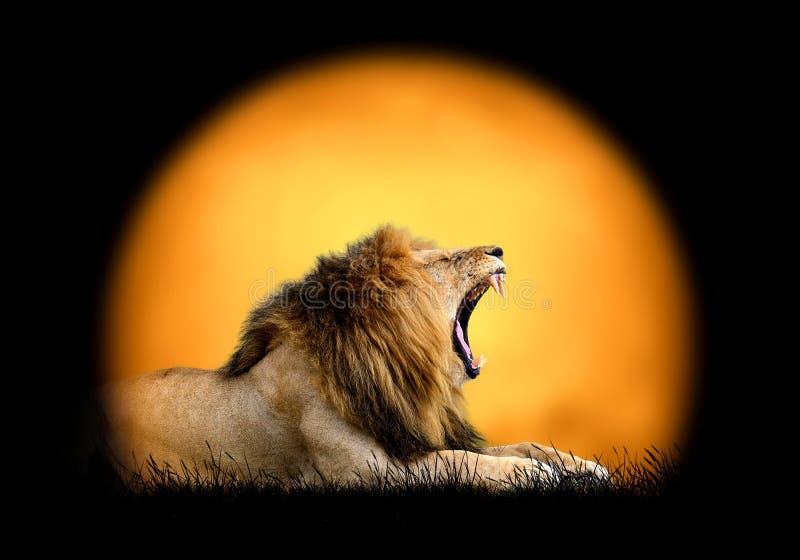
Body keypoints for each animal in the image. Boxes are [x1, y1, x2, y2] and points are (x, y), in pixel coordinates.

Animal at [101, 225, 607, 487]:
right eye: (442, 261)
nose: (498, 248)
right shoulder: (370, 472)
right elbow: (461, 462)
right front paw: (532, 474)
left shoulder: (408, 437)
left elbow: (520, 443)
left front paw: (583, 466)